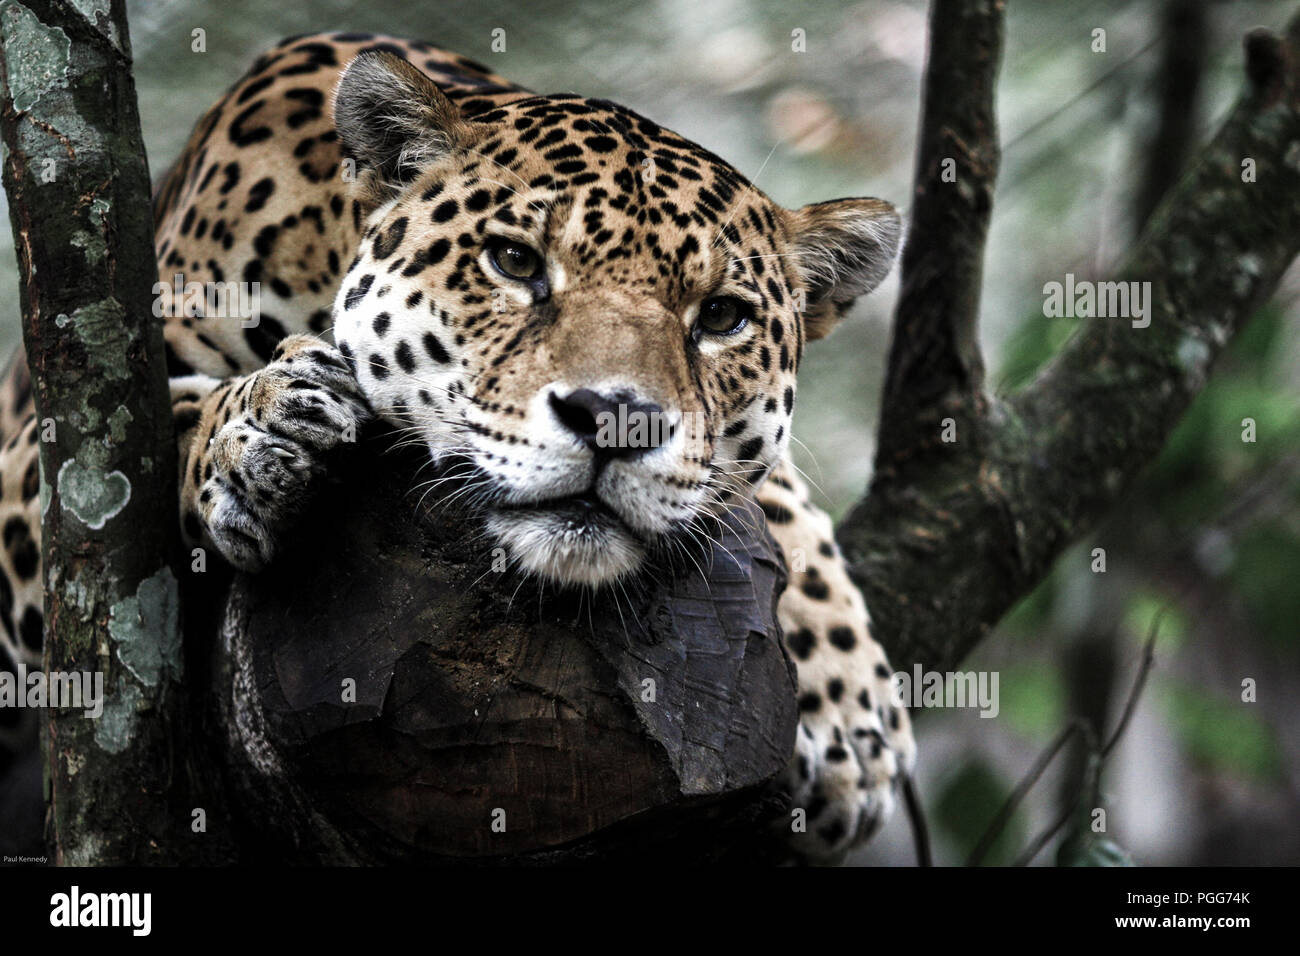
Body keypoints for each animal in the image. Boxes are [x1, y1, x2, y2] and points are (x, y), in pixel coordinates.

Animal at [0, 32, 913, 863]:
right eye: (513, 261)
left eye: (722, 317)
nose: (614, 417)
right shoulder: (43, 439)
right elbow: (132, 449)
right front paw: (255, 432)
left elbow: (769, 491)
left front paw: (850, 717)